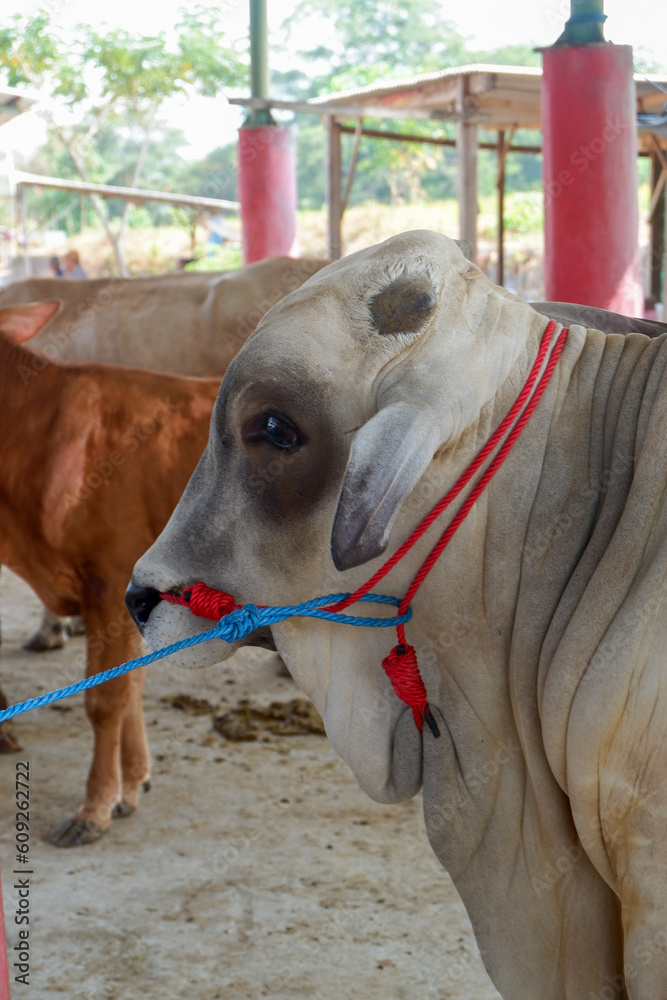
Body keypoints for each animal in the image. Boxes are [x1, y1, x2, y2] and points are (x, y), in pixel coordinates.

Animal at [0, 301, 224, 845]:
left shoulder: (106, 577)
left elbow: (105, 697)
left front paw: (94, 807)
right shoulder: (131, 597)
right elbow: (131, 685)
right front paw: (133, 784)